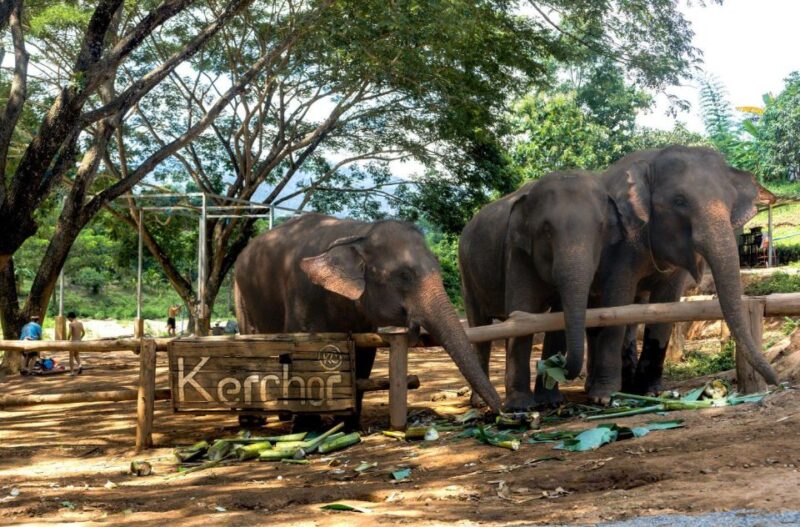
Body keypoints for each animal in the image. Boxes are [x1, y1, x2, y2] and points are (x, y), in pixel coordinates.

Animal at [233, 213, 503, 418]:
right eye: (404, 275)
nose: (507, 412)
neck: (357, 233)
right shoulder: (302, 295)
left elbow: (363, 357)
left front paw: (349, 423)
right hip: (240, 294)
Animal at [459, 170, 633, 410]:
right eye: (547, 230)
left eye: (600, 228)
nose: (562, 365)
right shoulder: (516, 252)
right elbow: (521, 311)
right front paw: (521, 406)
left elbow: (557, 319)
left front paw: (551, 401)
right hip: (466, 272)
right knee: (479, 327)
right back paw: (478, 402)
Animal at [585, 145, 779, 402]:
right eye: (679, 201)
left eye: (731, 202)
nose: (776, 382)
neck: (652, 160)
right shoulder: (622, 243)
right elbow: (616, 302)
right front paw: (603, 398)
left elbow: (664, 306)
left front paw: (652, 391)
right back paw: (595, 388)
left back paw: (627, 386)